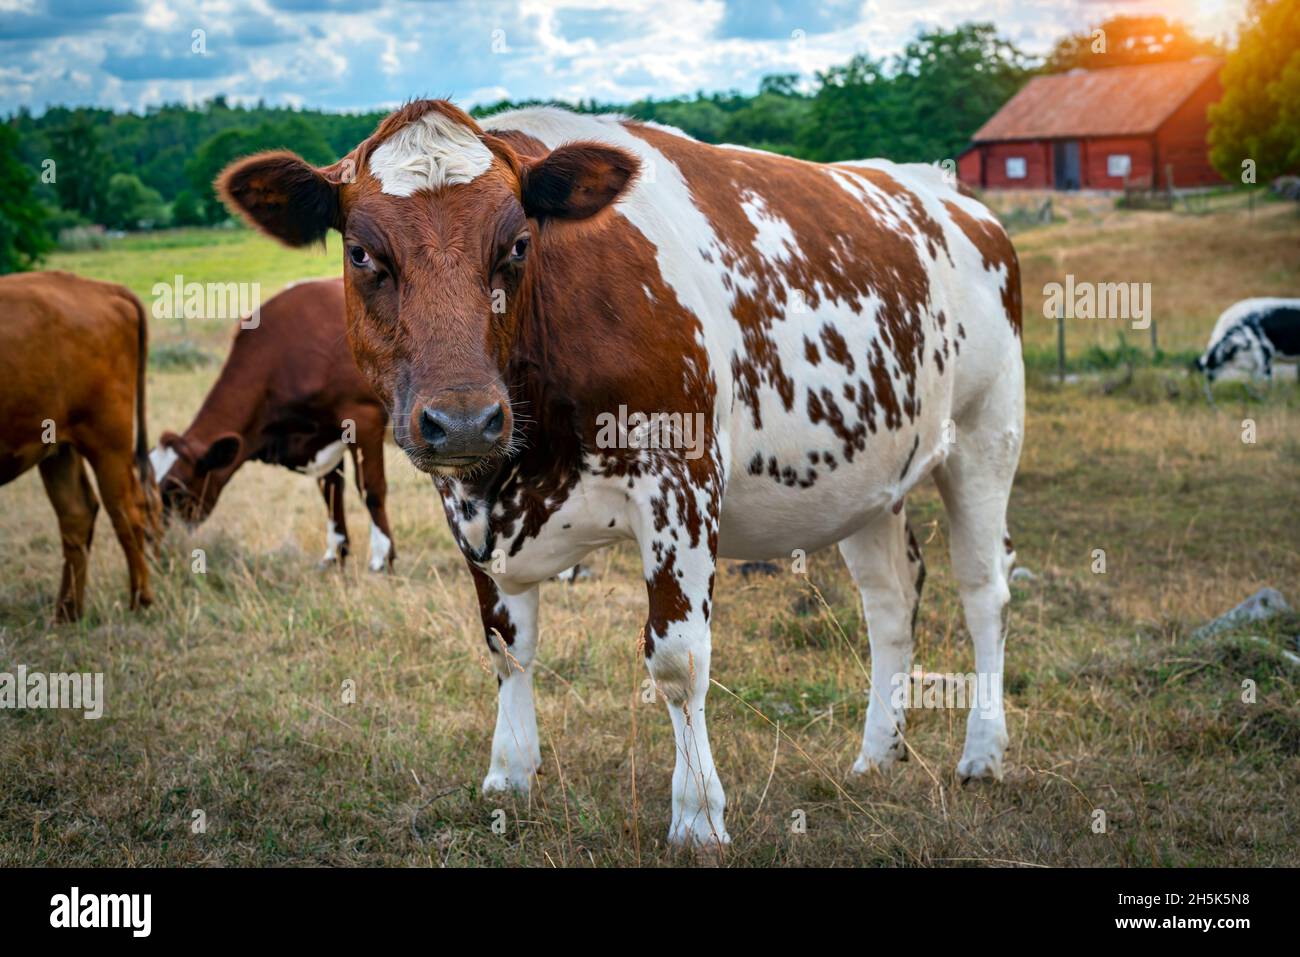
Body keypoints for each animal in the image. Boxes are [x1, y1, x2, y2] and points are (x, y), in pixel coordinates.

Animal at [0, 270, 160, 621]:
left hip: (107, 443)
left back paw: (140, 600)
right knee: (77, 512)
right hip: (58, 448)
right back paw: (67, 612)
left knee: (126, 509)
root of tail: (101, 288)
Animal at [150, 278, 395, 571]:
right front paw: (334, 555)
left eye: (175, 488)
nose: (155, 546)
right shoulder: (325, 437)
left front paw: (382, 559)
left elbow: (371, 489)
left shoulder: (363, 417)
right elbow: (331, 492)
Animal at [218, 100, 1025, 847]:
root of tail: (951, 194)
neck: (522, 462)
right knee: (890, 600)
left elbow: (677, 658)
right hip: (866, 478)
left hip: (987, 432)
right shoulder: (468, 500)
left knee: (983, 590)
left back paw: (983, 753)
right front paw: (509, 773)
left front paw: (698, 815)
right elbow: (506, 645)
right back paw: (877, 755)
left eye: (517, 243)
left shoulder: (682, 479)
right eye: (360, 253)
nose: (465, 419)